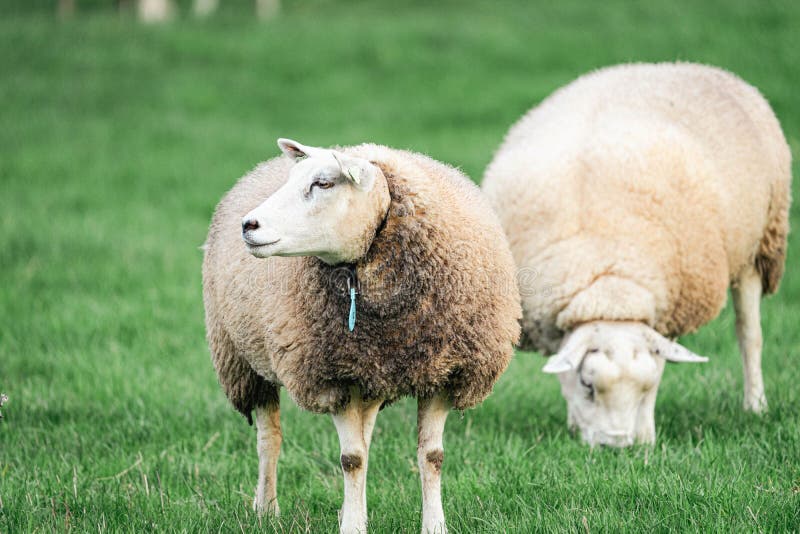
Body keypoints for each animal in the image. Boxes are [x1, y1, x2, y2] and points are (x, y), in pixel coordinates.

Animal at [203, 138, 521, 533]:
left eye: (323, 183)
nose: (248, 225)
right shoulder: (333, 377)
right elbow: (351, 458)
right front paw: (353, 527)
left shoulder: (445, 372)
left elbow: (431, 456)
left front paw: (433, 525)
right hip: (242, 360)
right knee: (269, 439)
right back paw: (266, 509)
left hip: (369, 375)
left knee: (364, 437)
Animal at [482, 62, 791, 447]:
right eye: (588, 385)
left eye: (646, 388)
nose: (616, 445)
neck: (612, 290)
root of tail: (676, 66)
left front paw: (645, 435)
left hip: (758, 246)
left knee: (750, 335)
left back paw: (755, 406)